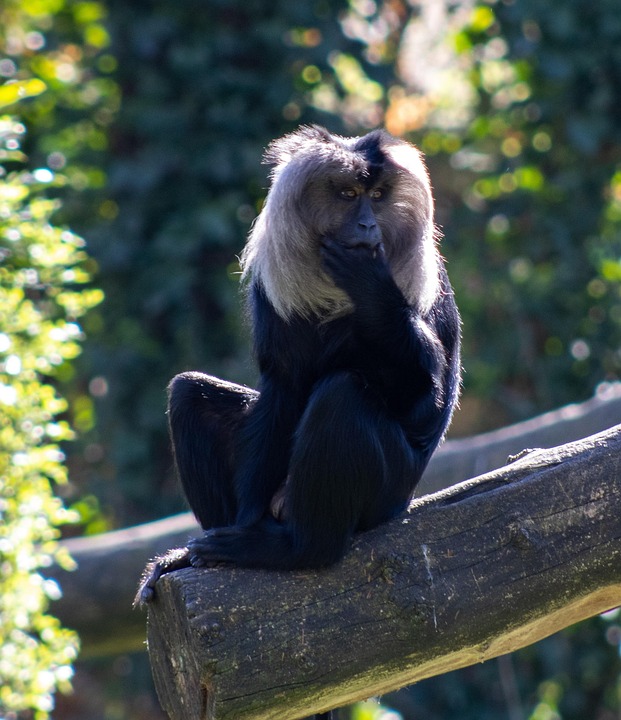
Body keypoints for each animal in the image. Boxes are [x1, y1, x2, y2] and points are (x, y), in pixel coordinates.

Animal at [135, 125, 461, 606]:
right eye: (348, 195)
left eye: (377, 196)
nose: (368, 225)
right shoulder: (273, 294)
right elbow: (284, 390)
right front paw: (239, 527)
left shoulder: (426, 283)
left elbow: (424, 405)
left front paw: (371, 284)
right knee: (189, 392)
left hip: (389, 492)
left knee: (341, 394)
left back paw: (298, 550)